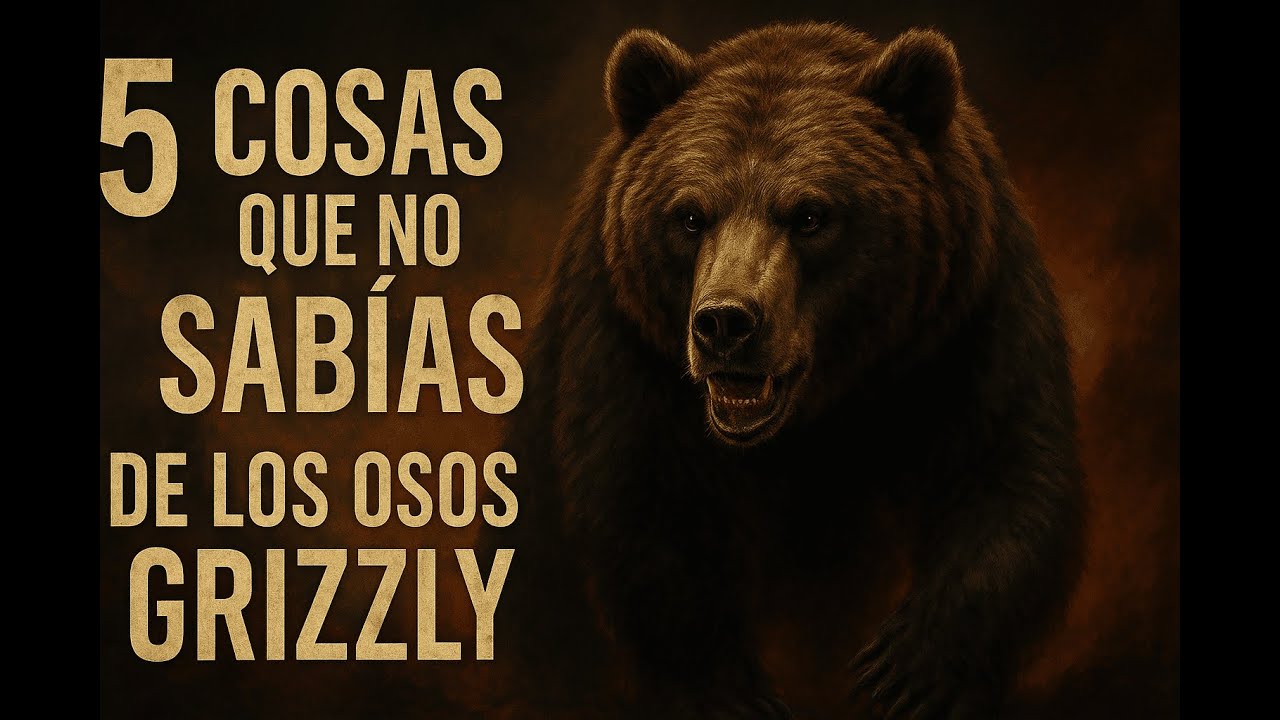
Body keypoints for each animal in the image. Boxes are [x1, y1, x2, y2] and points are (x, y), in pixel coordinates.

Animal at [482, 21, 1085, 720]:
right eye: (690, 215)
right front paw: (732, 692)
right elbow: (641, 503)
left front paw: (904, 673)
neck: (811, 420)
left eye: (811, 216)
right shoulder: (625, 338)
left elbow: (1008, 472)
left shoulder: (965, 320)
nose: (726, 323)